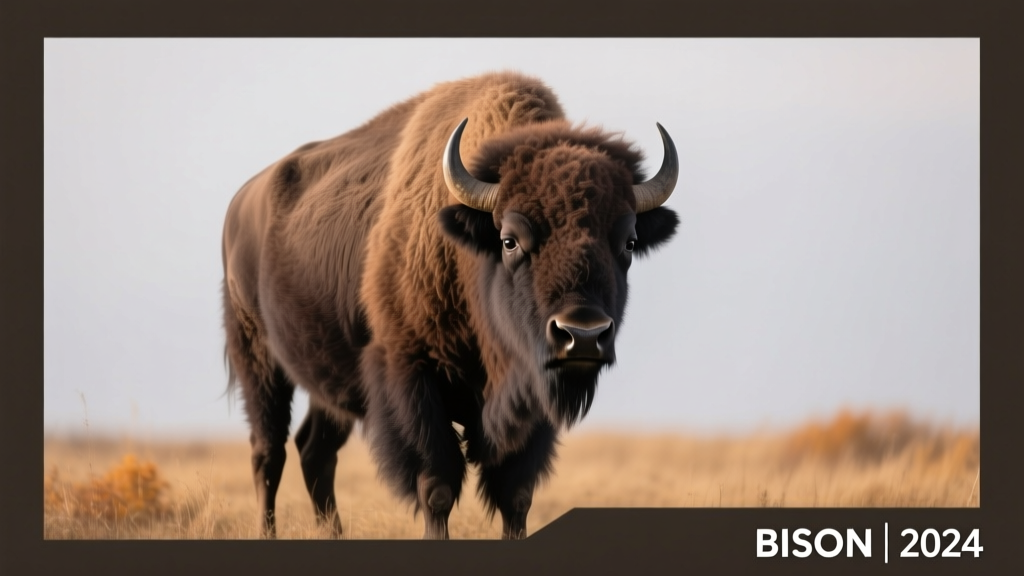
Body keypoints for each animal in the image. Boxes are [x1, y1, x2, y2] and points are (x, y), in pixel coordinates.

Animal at [221, 71, 679, 539]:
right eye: (510, 240)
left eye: (628, 242)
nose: (582, 335)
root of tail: (242, 202)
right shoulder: (413, 378)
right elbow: (437, 485)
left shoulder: (532, 402)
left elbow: (516, 494)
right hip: (257, 357)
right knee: (269, 451)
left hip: (328, 380)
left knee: (315, 450)